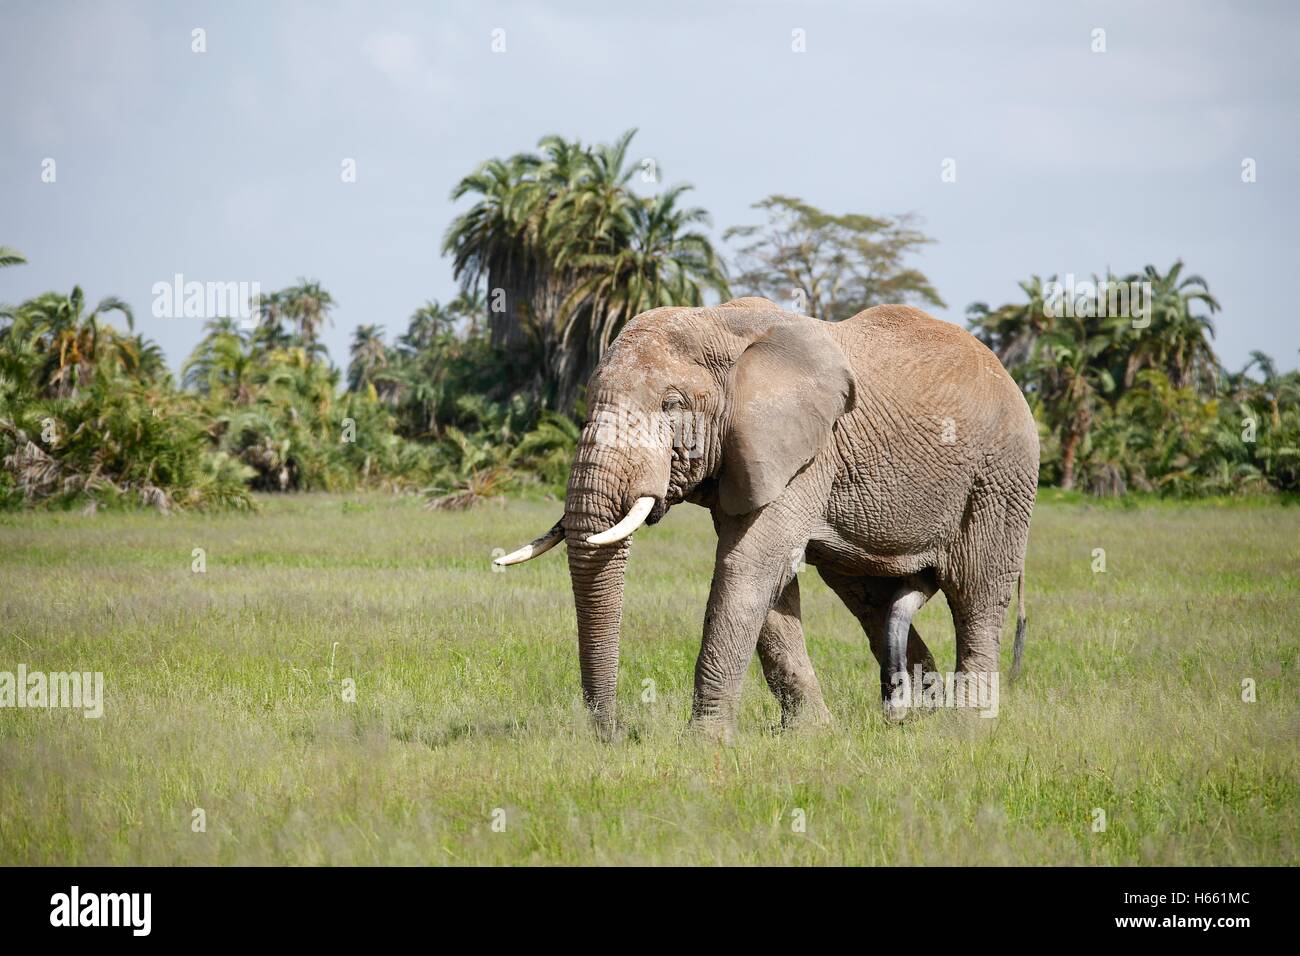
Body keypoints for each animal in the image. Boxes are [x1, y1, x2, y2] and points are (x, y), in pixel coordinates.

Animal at [495, 297, 1039, 738]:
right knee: (871, 597)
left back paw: (964, 727)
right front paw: (811, 735)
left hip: (1001, 477)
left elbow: (747, 565)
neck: (718, 323)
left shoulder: (807, 451)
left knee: (976, 591)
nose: (614, 734)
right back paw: (911, 717)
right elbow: (770, 583)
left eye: (672, 405)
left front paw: (704, 743)